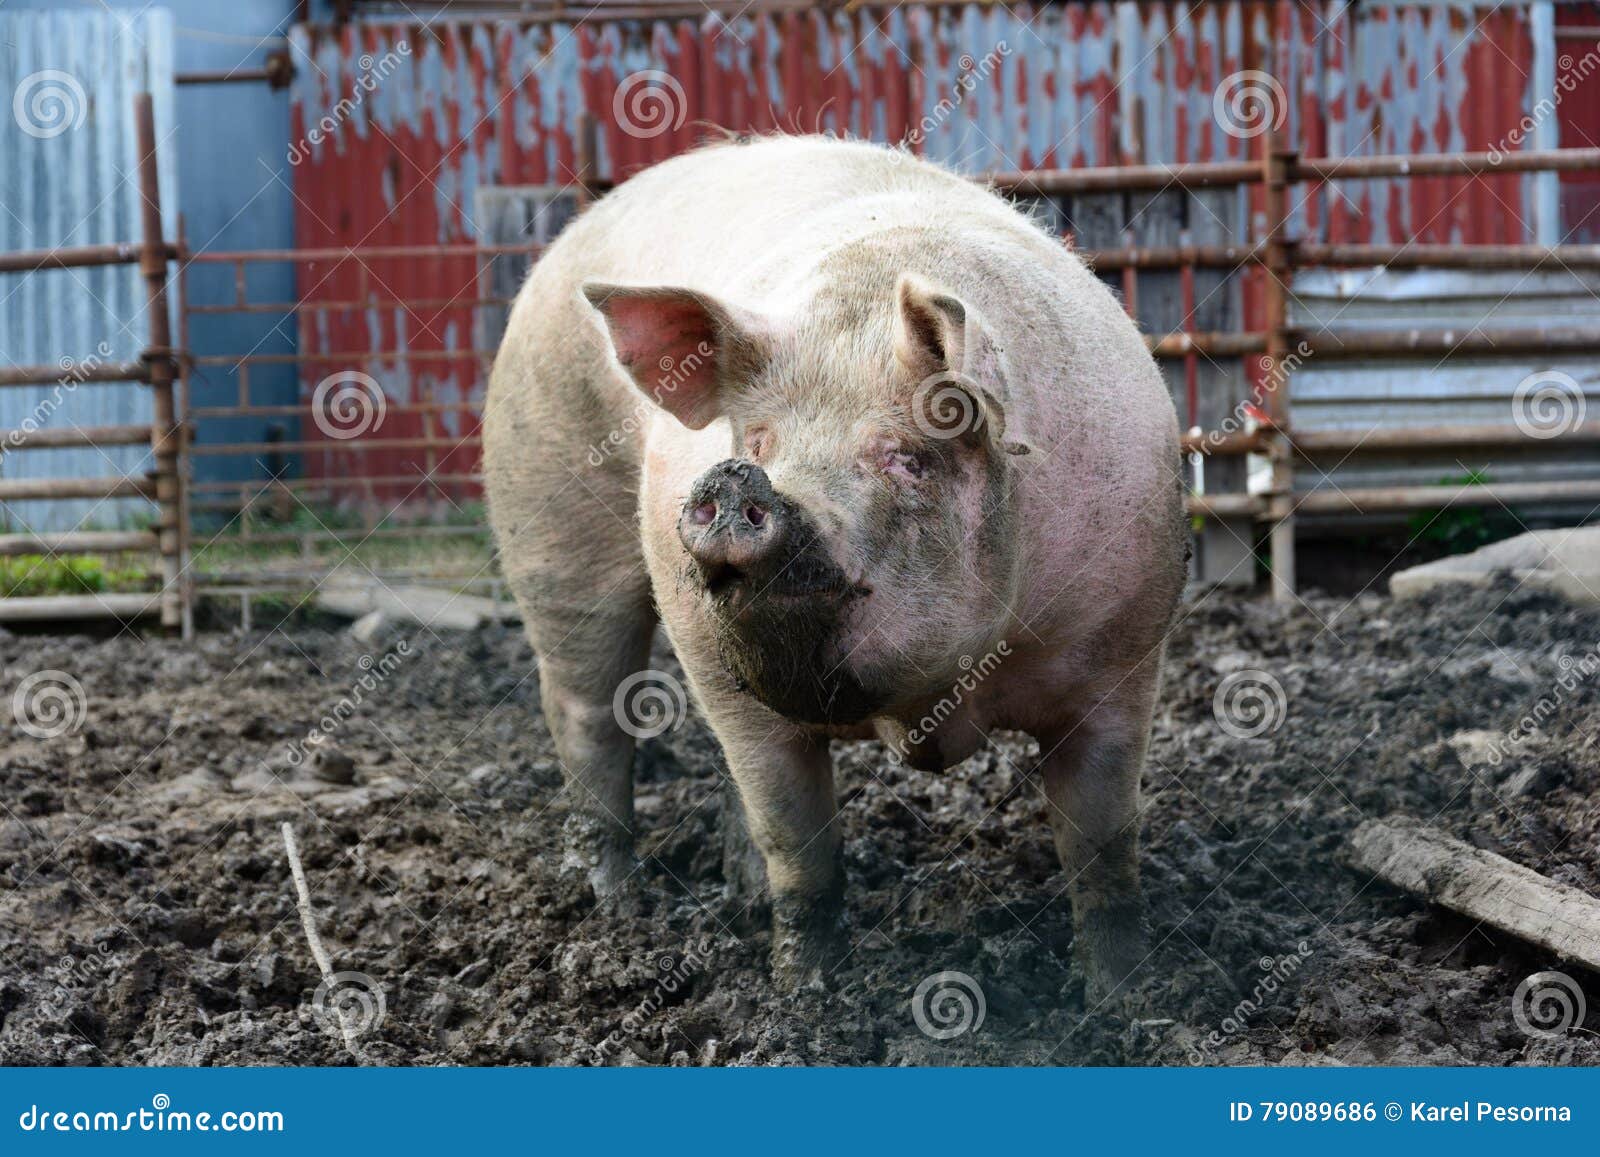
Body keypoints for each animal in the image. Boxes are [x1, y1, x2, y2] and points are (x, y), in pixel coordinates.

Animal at [484, 135, 1186, 1002]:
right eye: (755, 440)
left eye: (906, 456)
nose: (739, 481)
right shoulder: (729, 685)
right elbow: (799, 848)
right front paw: (804, 998)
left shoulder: (1125, 649)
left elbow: (1101, 844)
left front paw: (1124, 1000)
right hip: (548, 520)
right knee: (587, 715)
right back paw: (617, 910)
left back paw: (728, 896)